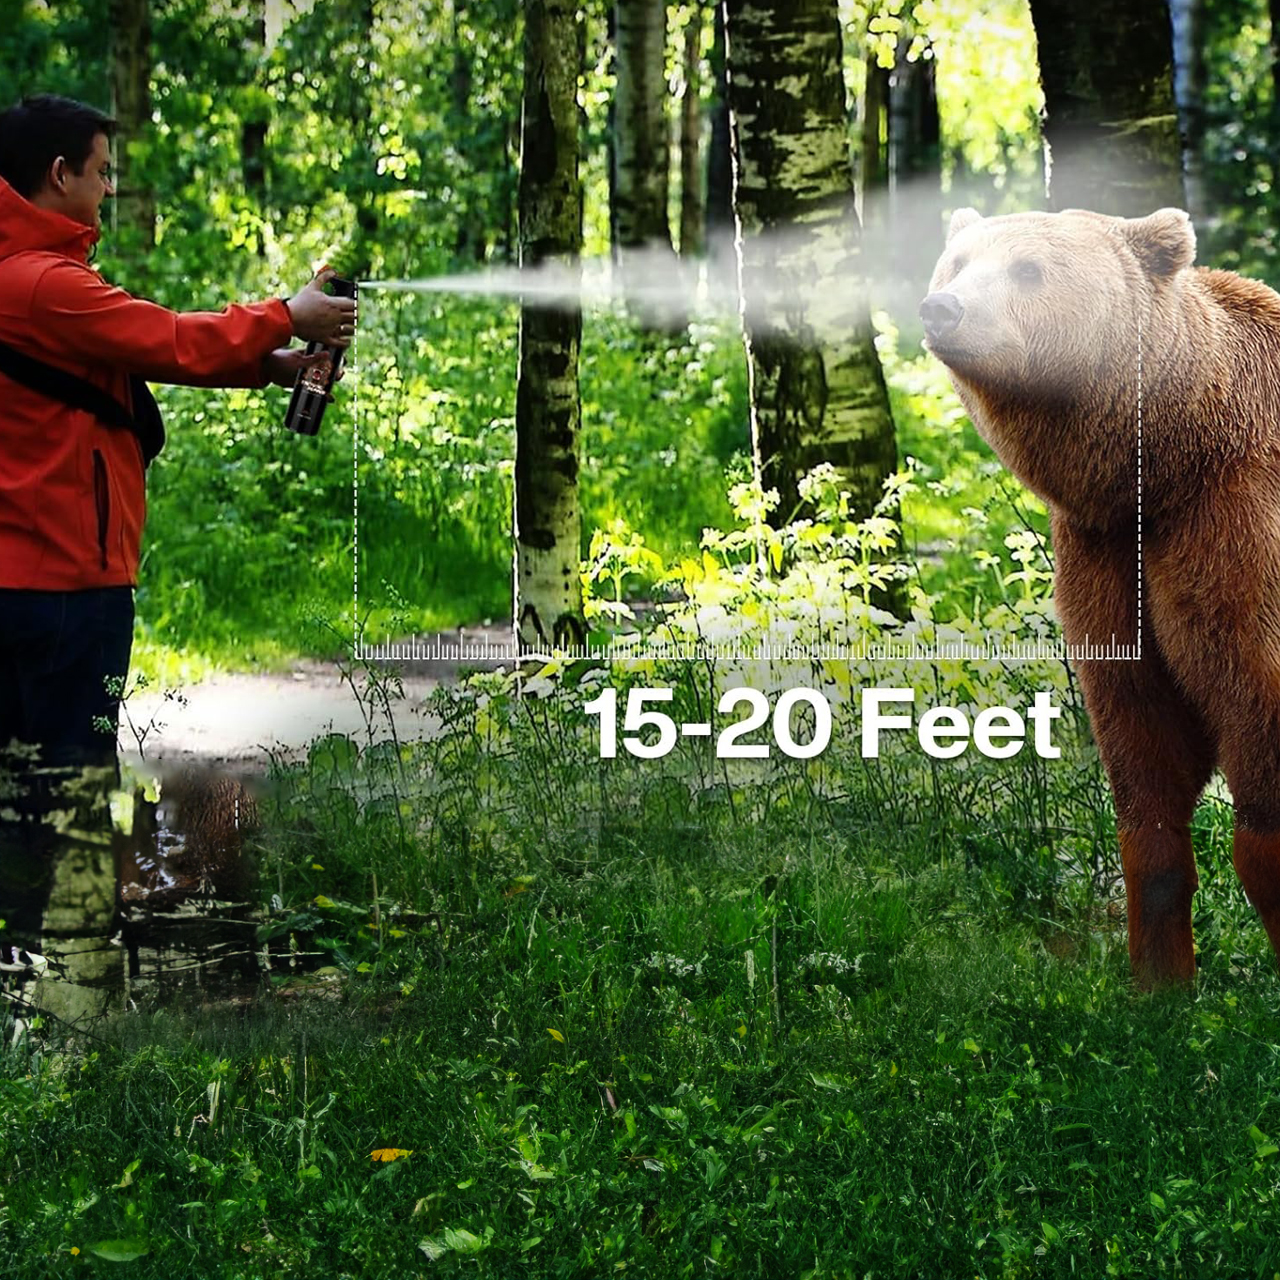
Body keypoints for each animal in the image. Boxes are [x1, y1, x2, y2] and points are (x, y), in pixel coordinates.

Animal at [920, 206, 1280, 987]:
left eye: (1028, 269)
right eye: (957, 261)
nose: (944, 308)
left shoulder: (1236, 528)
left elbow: (1256, 703)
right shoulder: (1109, 556)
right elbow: (1144, 744)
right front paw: (1159, 981)